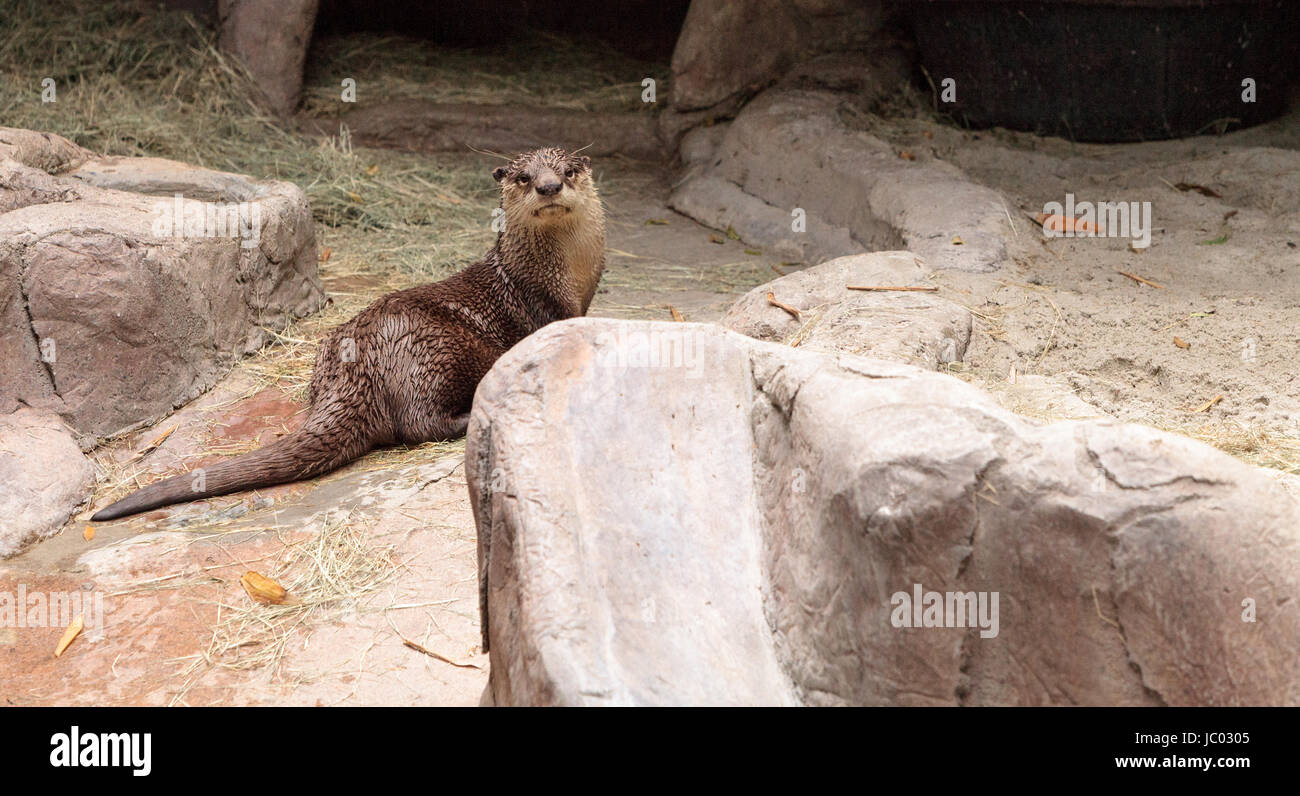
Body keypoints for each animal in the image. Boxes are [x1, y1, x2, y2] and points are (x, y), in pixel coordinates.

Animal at [91, 147, 605, 522]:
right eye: (524, 178)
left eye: (568, 170)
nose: (549, 186)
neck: (552, 276)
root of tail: (360, 360)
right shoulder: (544, 308)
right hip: (436, 350)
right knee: (417, 423)